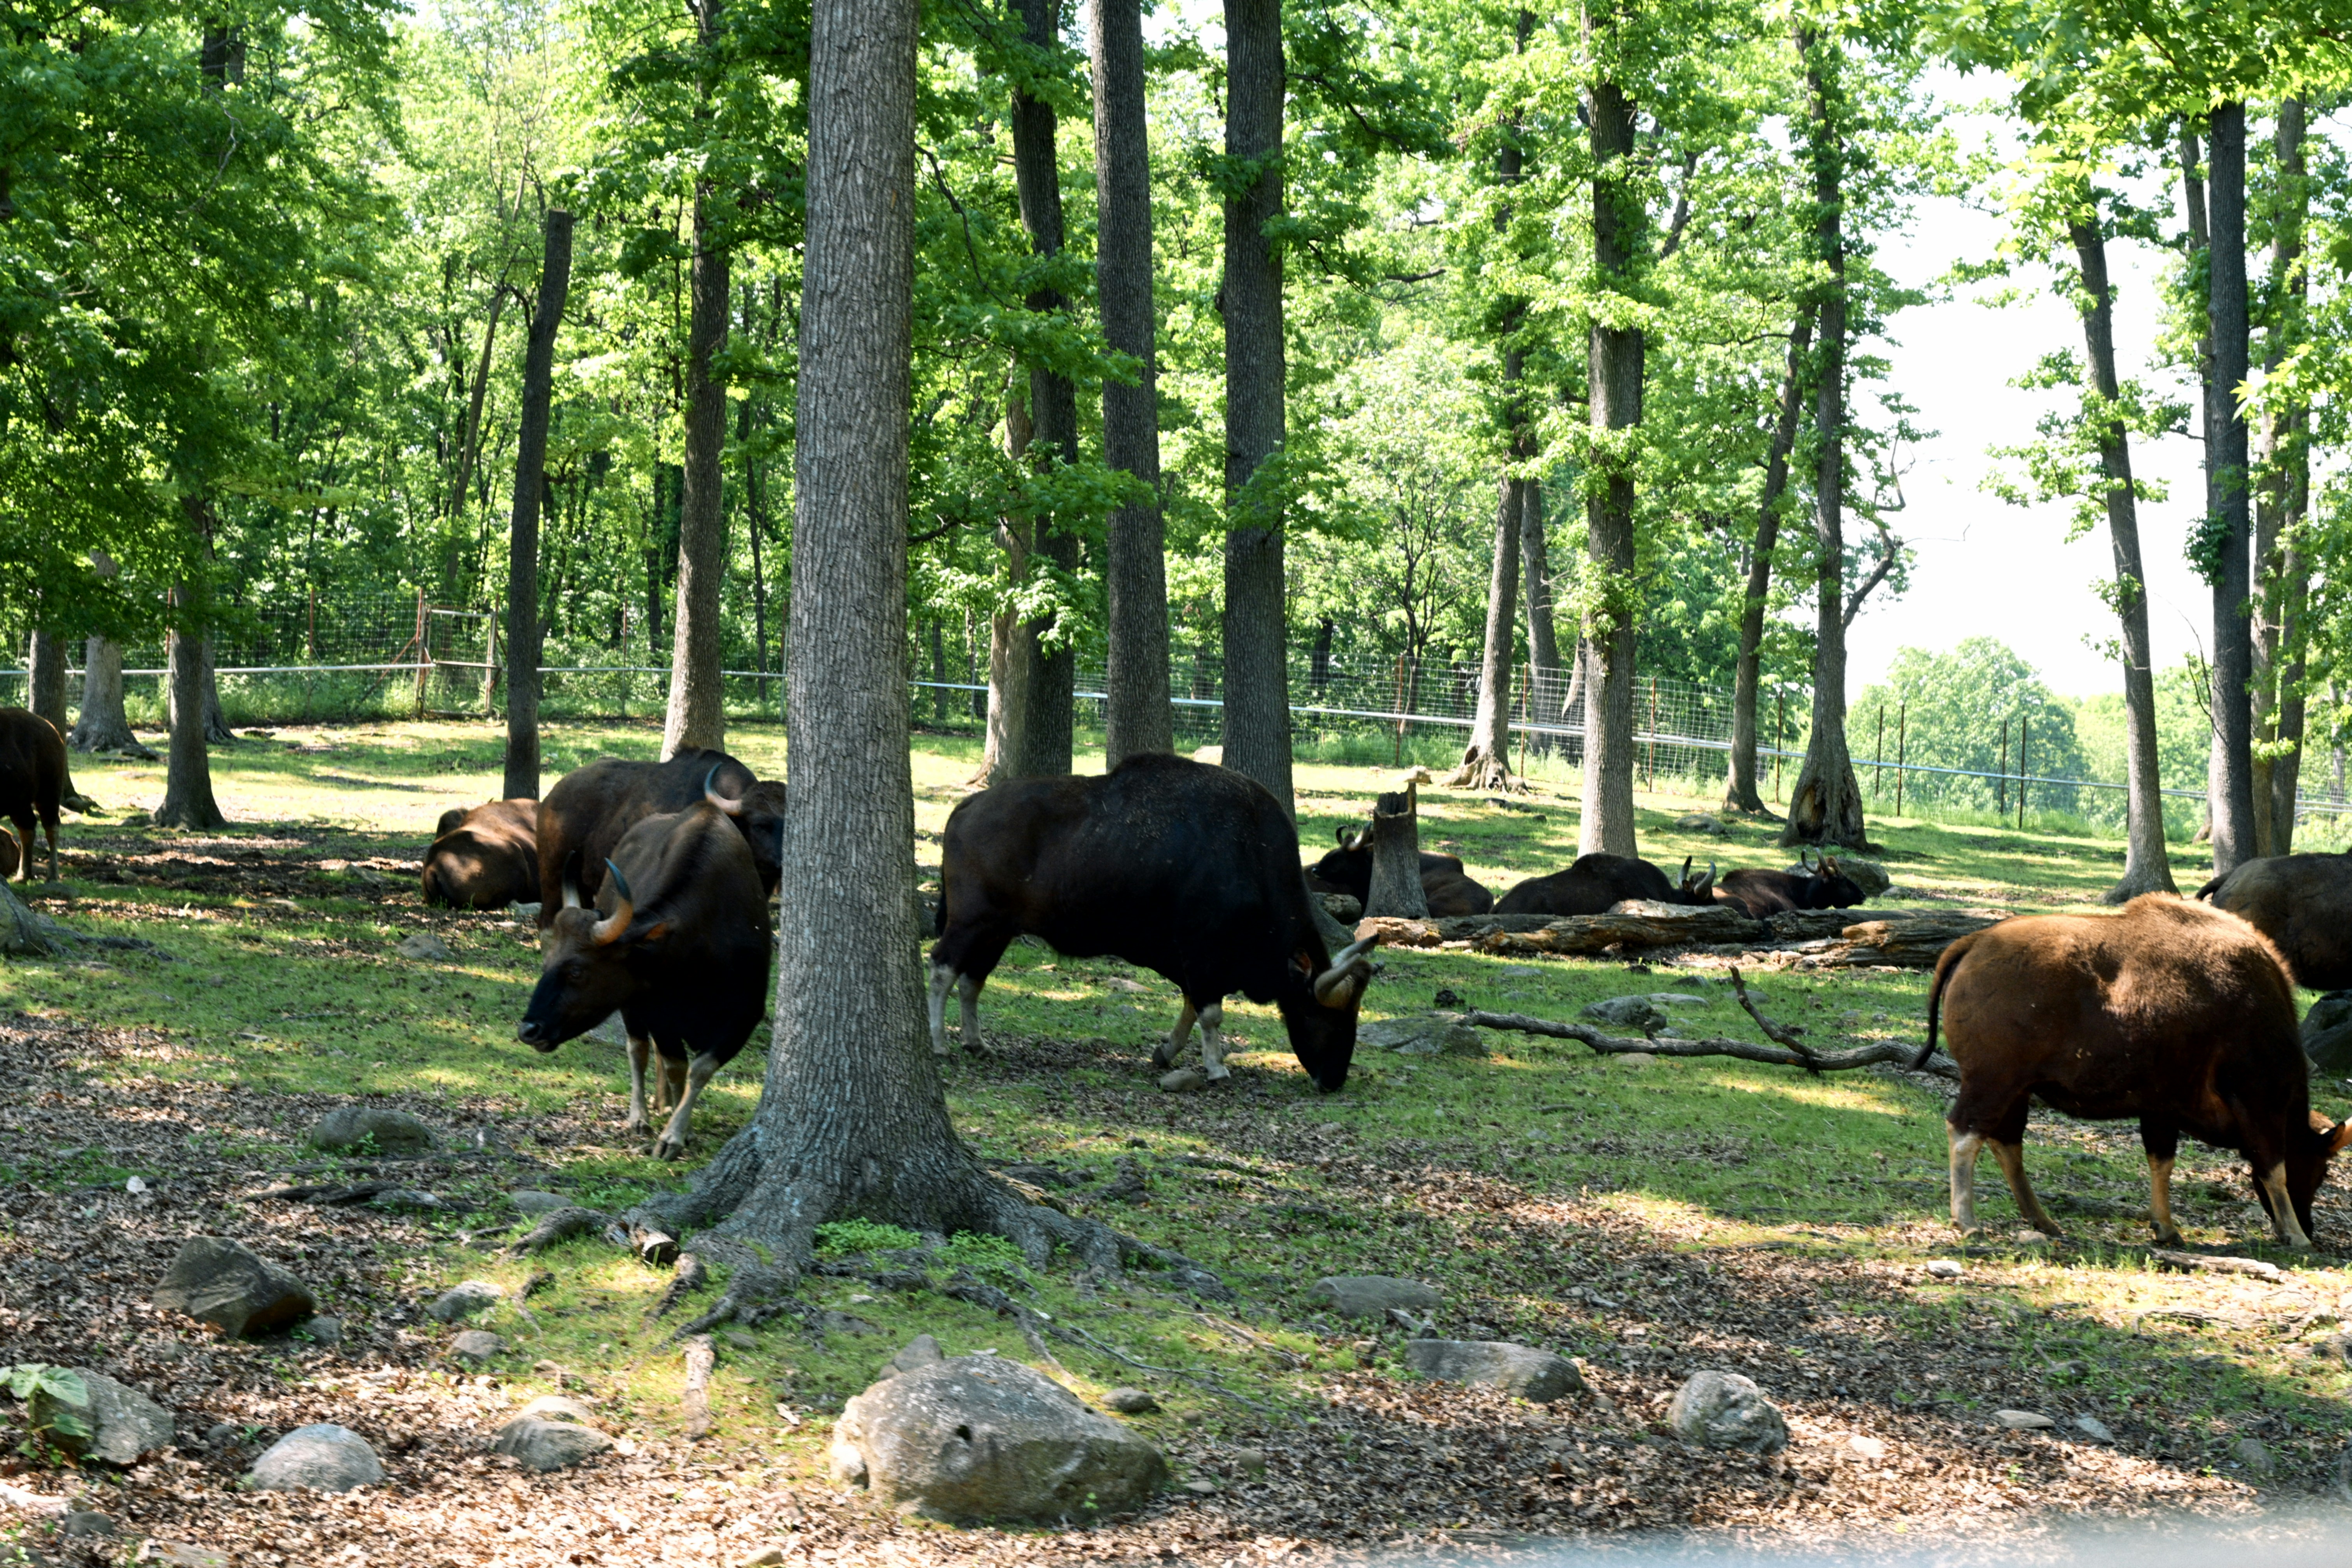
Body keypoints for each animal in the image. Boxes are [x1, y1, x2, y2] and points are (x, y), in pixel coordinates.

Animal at [517, 793, 773, 1159]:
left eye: (577, 970)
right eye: (547, 961)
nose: (529, 1030)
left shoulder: (745, 1015)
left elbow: (701, 1068)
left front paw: (675, 1133)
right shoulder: (658, 1011)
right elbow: (677, 1066)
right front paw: (678, 1132)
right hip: (632, 1006)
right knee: (638, 1050)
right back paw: (641, 1114)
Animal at [930, 753, 1378, 1091]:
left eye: (1354, 1019)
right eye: (1324, 1016)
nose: (1333, 1080)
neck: (1249, 856)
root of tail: (967, 808)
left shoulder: (1191, 962)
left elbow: (1190, 1006)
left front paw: (1165, 1052)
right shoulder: (1202, 955)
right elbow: (1210, 1013)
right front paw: (1217, 1068)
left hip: (998, 930)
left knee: (972, 980)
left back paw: (976, 1043)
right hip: (970, 922)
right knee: (942, 968)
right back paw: (939, 1043)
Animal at [1922, 894, 2351, 1248]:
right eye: (2319, 1170)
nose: (2310, 1226)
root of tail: (1976, 942)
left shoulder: (2162, 1109)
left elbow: (2162, 1162)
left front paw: (2166, 1227)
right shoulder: (2259, 1102)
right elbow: (2273, 1169)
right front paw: (2296, 1235)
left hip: (2017, 1091)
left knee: (2006, 1143)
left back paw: (2042, 1221)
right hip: (1992, 1083)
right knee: (1965, 1132)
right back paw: (1968, 1220)